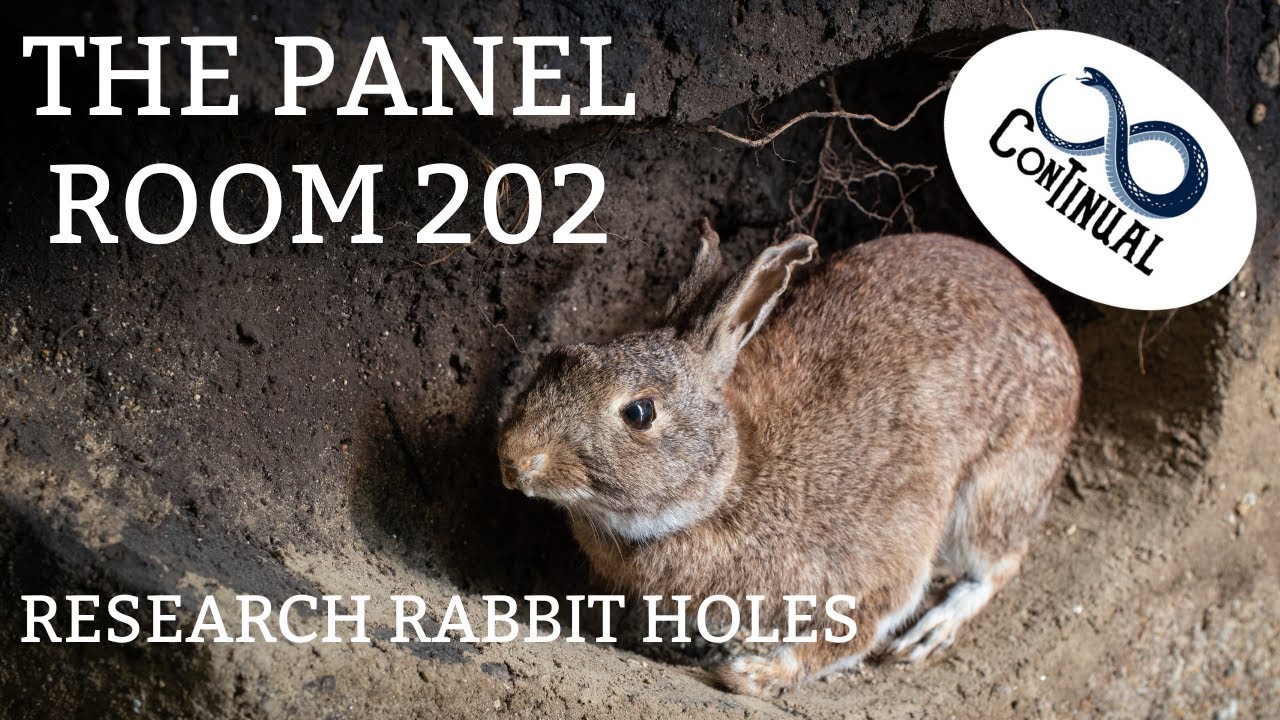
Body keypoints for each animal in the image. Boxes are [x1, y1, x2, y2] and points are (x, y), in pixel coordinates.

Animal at [497, 219, 1081, 697]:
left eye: (639, 412)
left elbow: (853, 630)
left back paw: (933, 630)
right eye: (558, 359)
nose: (515, 459)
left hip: (993, 490)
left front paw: (752, 674)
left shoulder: (878, 561)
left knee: (999, 561)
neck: (731, 478)